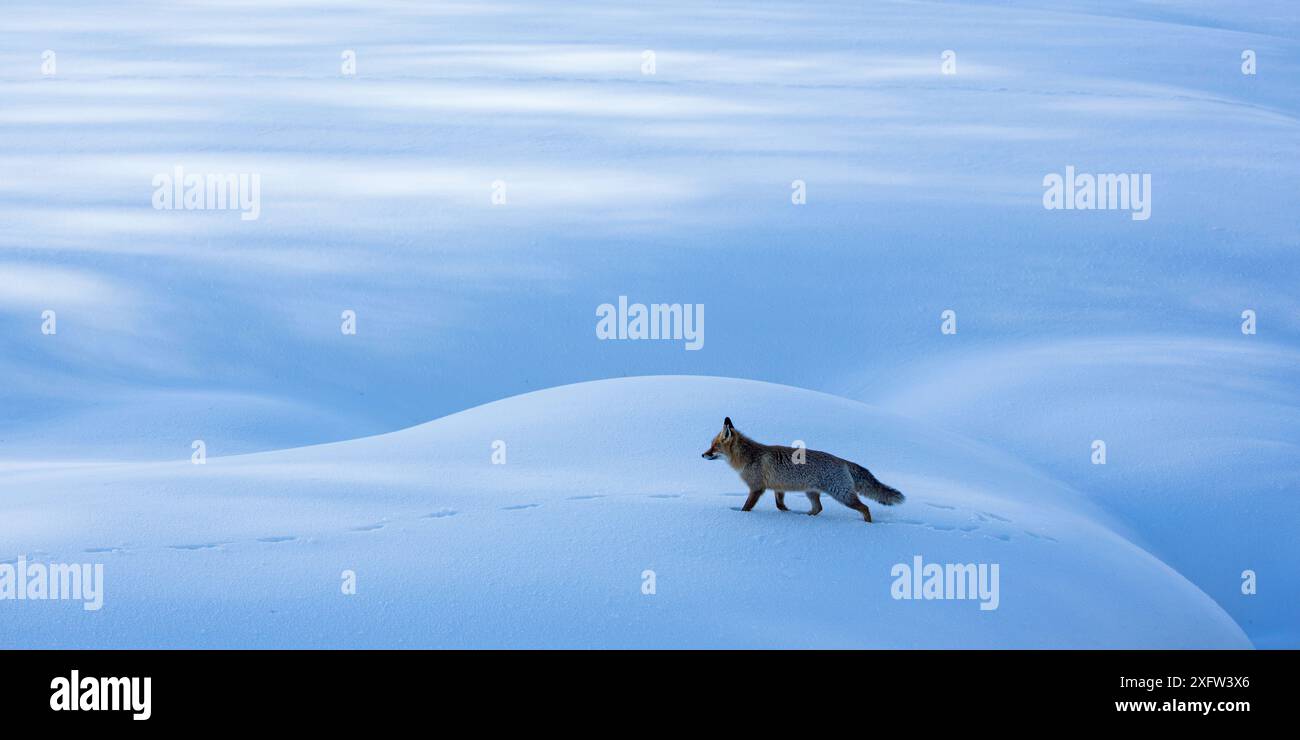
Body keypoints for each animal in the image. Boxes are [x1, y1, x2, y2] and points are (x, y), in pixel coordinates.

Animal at [701, 417, 904, 522]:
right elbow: (780, 505)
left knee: (865, 507)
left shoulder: (757, 488)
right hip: (811, 493)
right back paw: (805, 517)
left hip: (842, 495)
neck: (749, 456)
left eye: (714, 447)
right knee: (818, 508)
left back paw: (867, 524)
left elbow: (746, 508)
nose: (702, 455)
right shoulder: (778, 487)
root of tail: (843, 460)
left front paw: (741, 515)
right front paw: (788, 512)